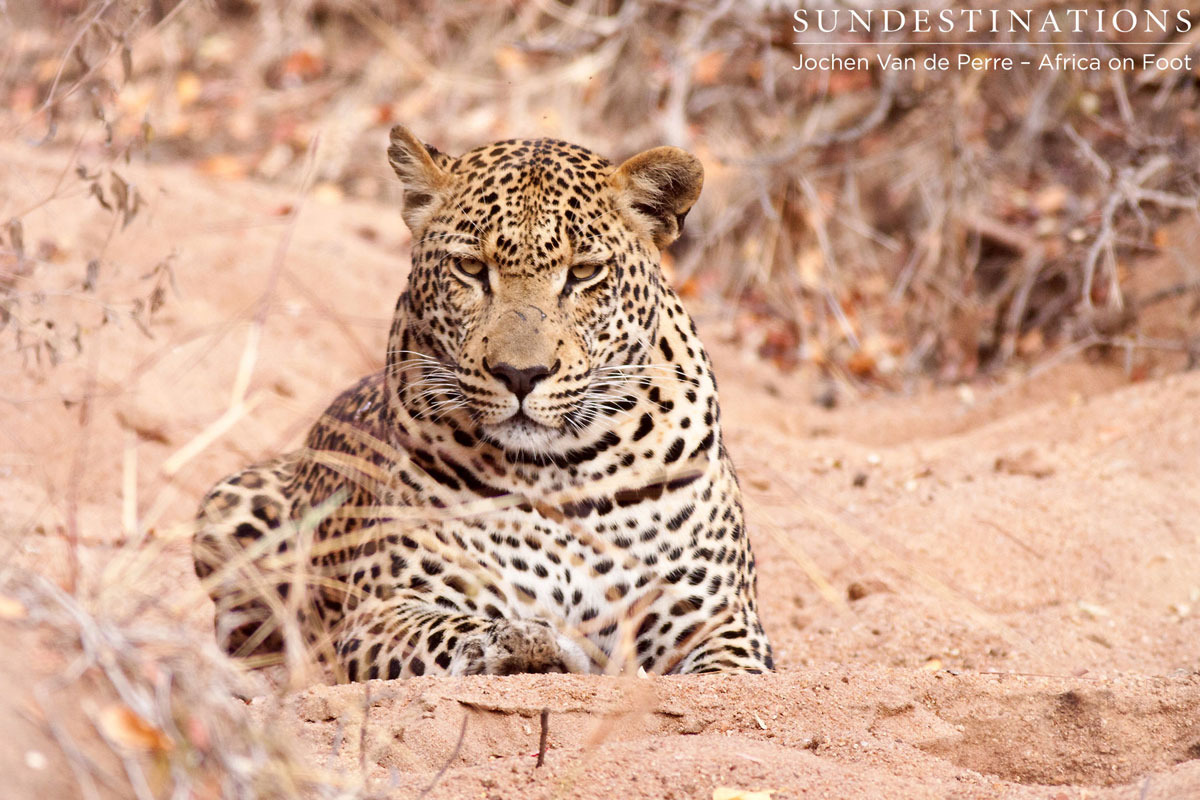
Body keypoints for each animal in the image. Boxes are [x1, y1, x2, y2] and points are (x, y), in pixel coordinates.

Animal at [192, 125, 774, 681]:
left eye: (584, 272)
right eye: (471, 269)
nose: (521, 374)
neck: (559, 472)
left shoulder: (719, 623)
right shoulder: (383, 610)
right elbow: (456, 633)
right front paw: (529, 645)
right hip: (226, 501)